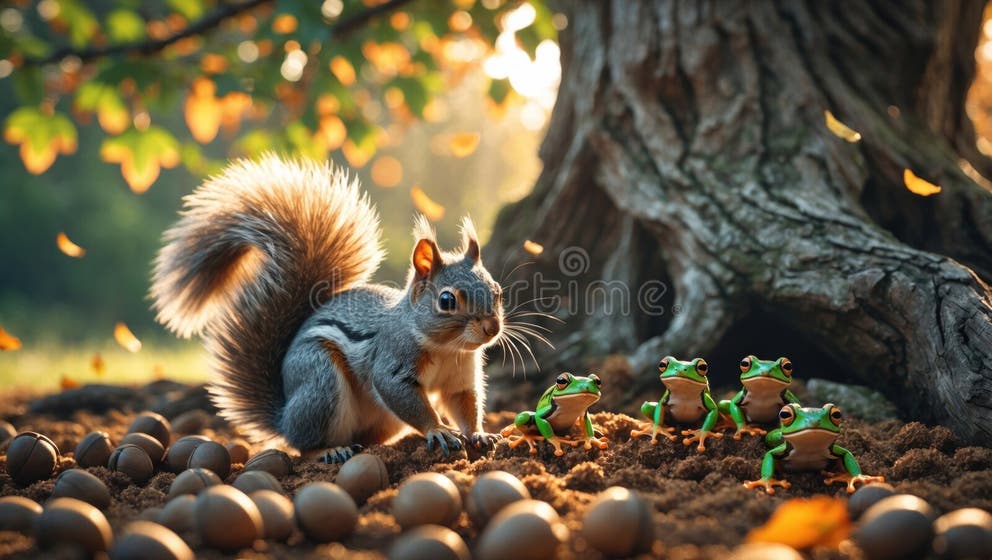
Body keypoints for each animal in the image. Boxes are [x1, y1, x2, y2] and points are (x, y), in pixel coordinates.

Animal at [150, 155, 505, 462]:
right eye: (447, 301)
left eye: (498, 291)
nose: (492, 328)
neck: (448, 349)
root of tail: (284, 416)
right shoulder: (393, 360)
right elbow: (405, 398)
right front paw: (437, 430)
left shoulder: (461, 377)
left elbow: (464, 404)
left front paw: (479, 434)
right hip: (320, 381)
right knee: (303, 444)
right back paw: (328, 451)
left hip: (378, 418)